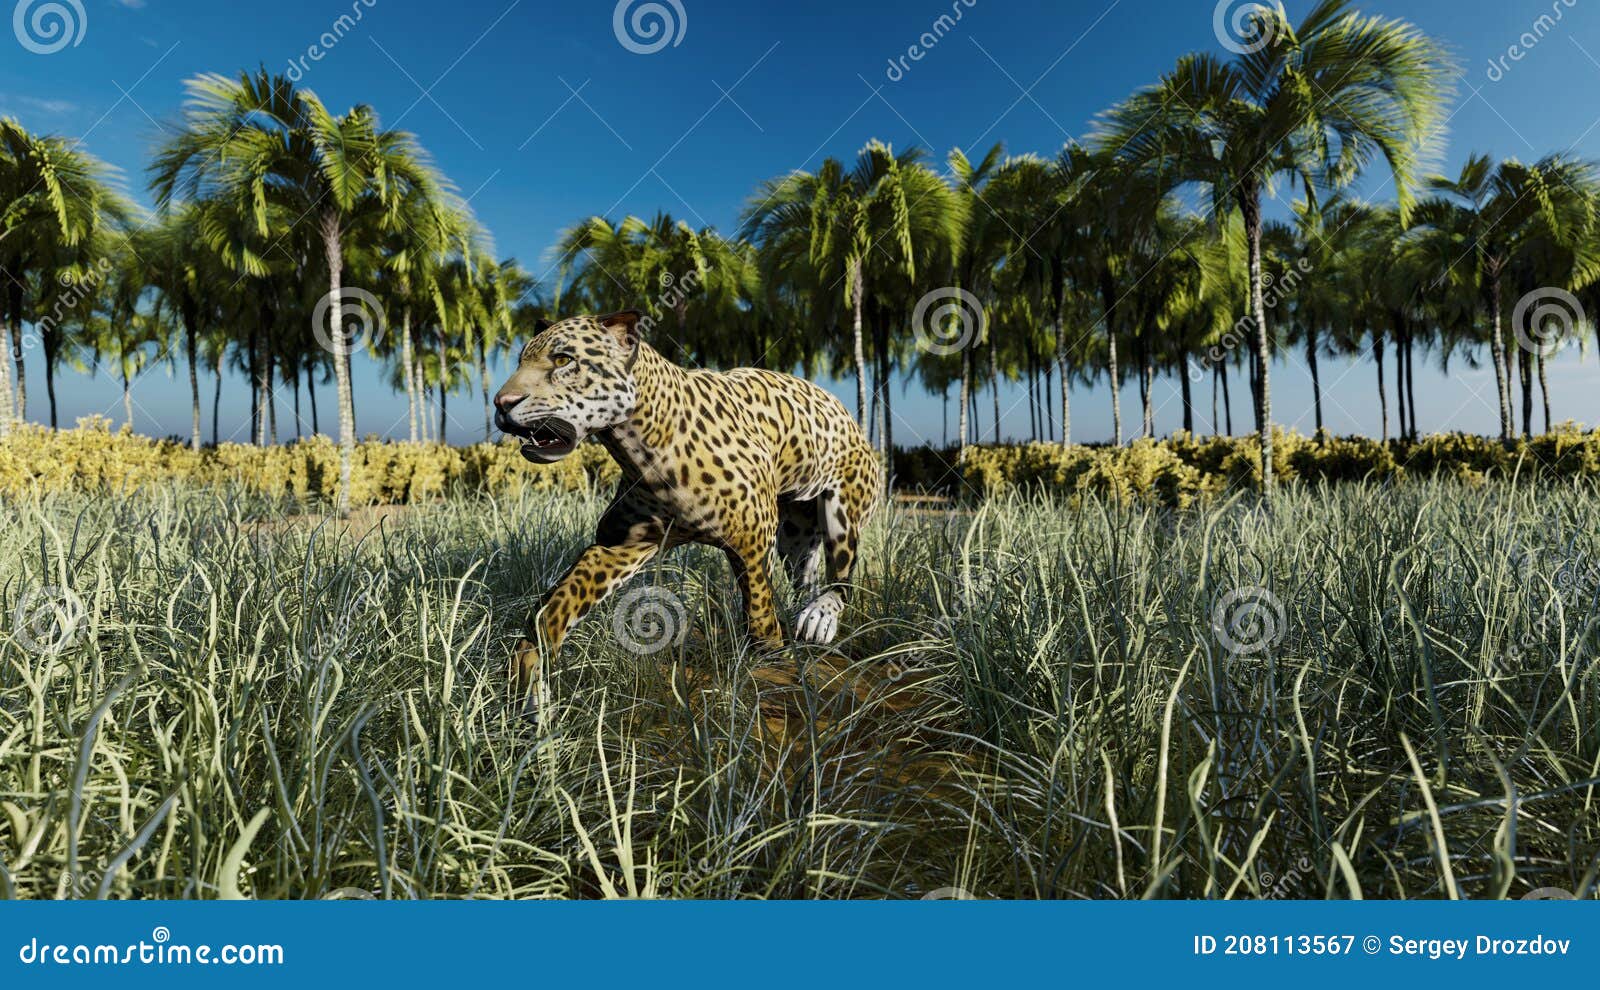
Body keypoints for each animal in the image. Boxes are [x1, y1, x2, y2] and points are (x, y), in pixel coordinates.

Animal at [492, 310, 883, 700]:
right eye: (520, 360)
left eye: (563, 360)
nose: (501, 403)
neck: (639, 445)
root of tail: (842, 410)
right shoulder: (620, 545)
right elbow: (556, 605)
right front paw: (532, 675)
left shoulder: (753, 541)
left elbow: (759, 606)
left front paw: (771, 654)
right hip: (795, 536)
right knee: (807, 579)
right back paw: (808, 621)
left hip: (842, 512)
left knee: (842, 578)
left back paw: (820, 619)